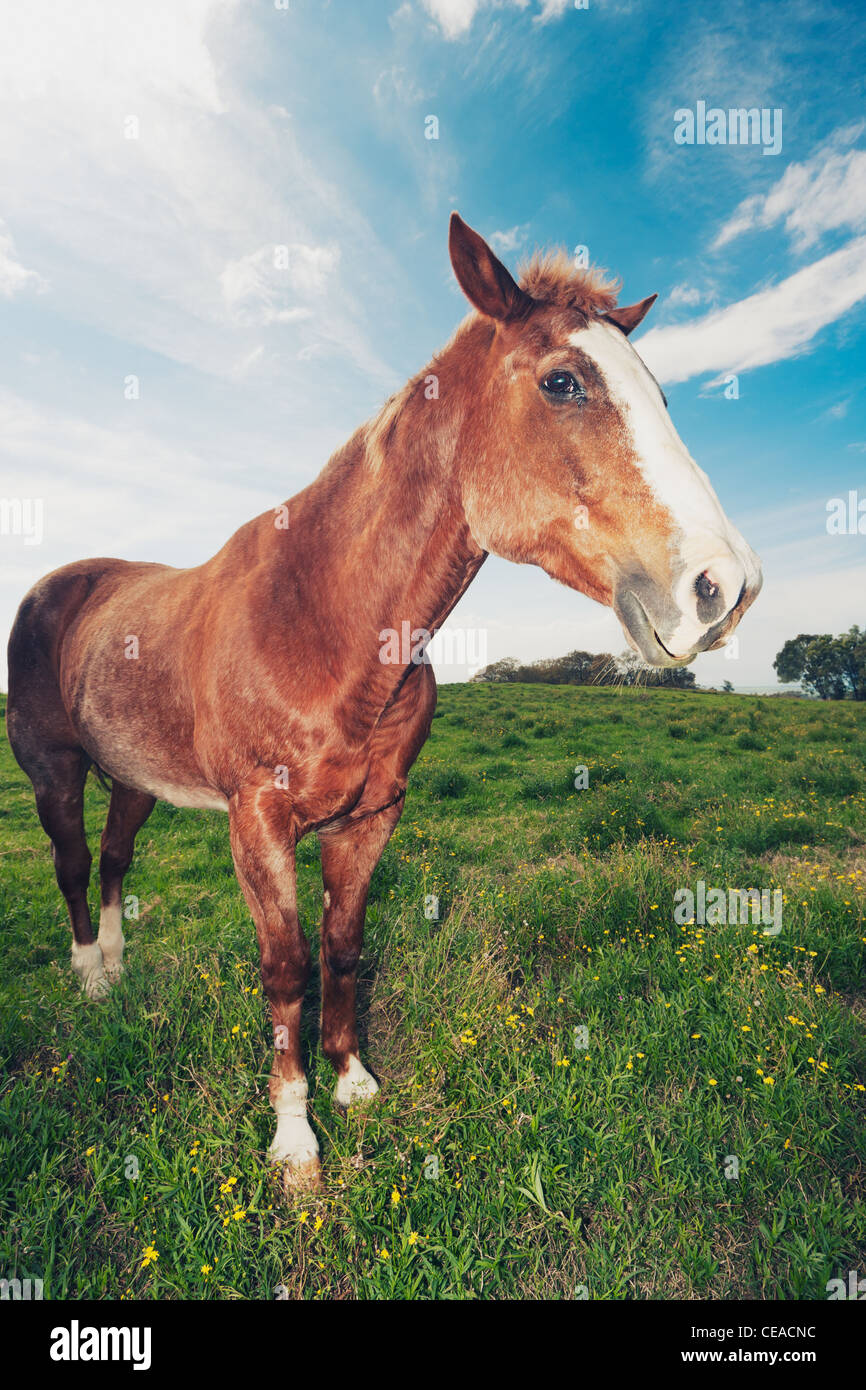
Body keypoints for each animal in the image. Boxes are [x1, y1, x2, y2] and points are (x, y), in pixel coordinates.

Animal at [5, 214, 762, 1190]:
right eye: (563, 382)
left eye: (661, 396)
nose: (725, 586)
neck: (322, 617)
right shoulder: (258, 823)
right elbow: (285, 966)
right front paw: (294, 1141)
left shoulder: (371, 818)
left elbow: (343, 946)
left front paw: (352, 1080)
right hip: (55, 772)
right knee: (70, 863)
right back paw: (93, 979)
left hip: (134, 776)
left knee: (111, 861)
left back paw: (118, 966)